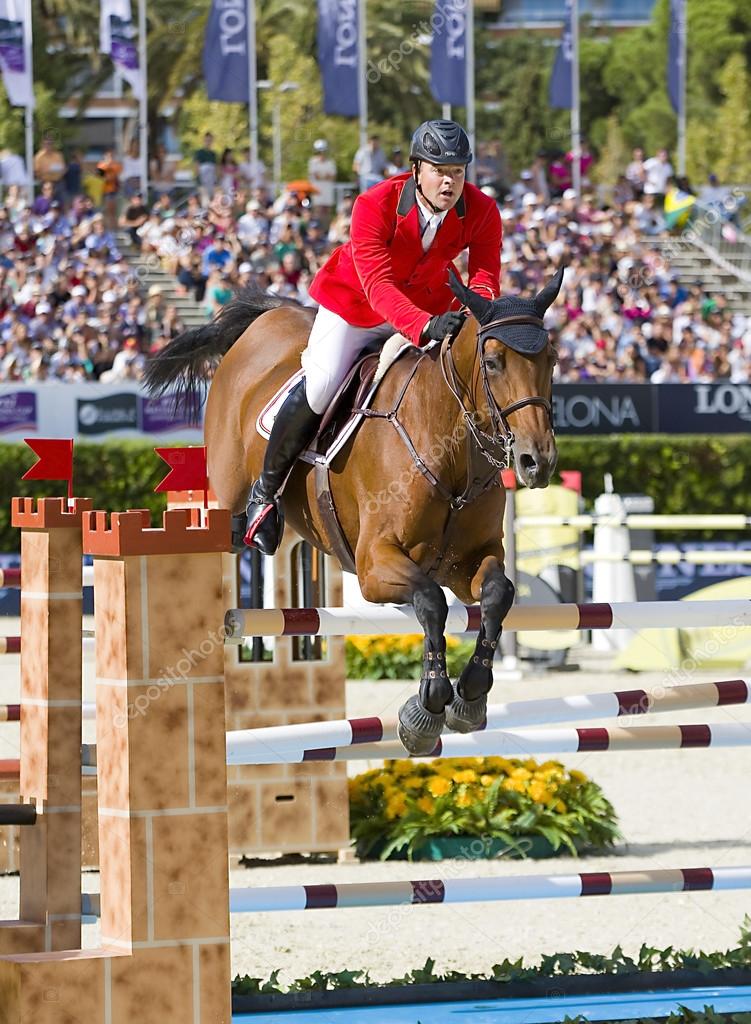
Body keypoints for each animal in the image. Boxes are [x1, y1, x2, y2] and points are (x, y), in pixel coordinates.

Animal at [144, 268, 563, 754]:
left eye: (551, 360)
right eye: (493, 362)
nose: (537, 462)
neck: (450, 449)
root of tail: (266, 320)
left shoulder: (468, 562)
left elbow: (499, 593)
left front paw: (470, 696)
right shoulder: (375, 564)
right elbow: (431, 601)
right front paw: (426, 708)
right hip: (225, 495)